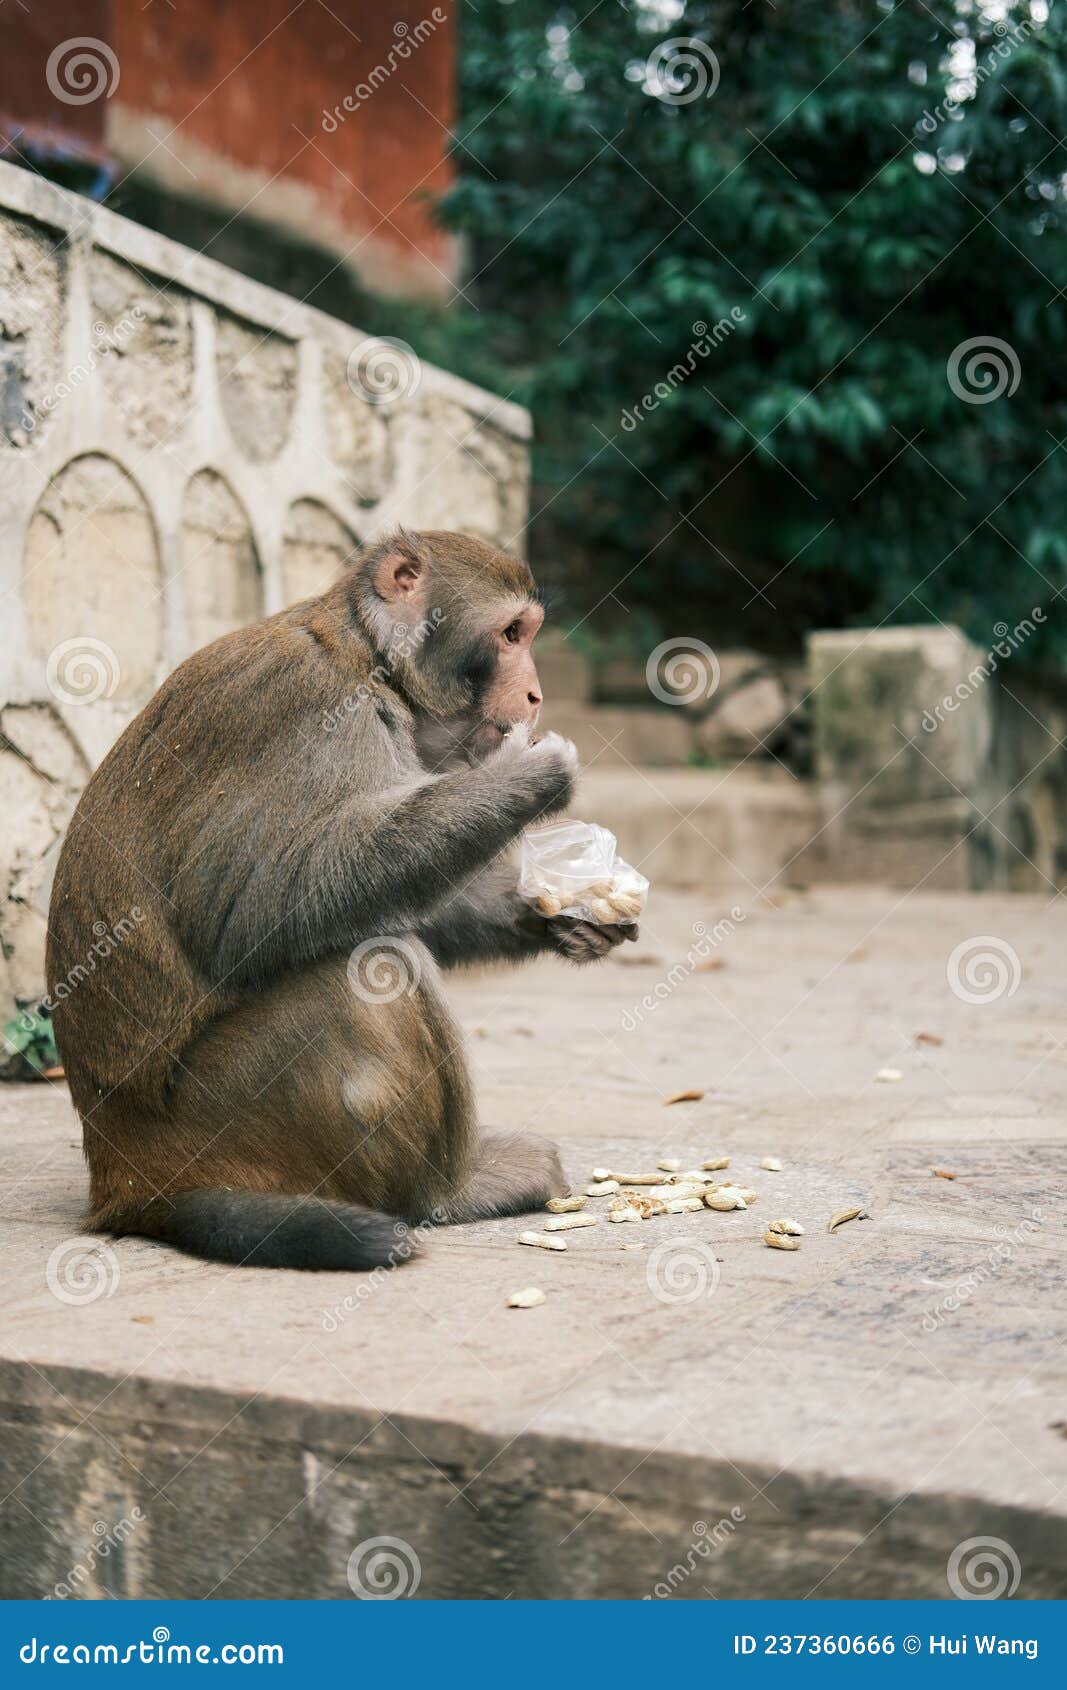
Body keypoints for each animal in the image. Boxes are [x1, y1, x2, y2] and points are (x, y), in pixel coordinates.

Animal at [46, 529, 638, 1272]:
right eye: (510, 634)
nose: (533, 695)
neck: (368, 658)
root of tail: (124, 1174)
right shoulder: (306, 708)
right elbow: (245, 912)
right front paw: (529, 775)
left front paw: (562, 916)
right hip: (219, 1119)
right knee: (368, 967)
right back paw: (448, 1194)